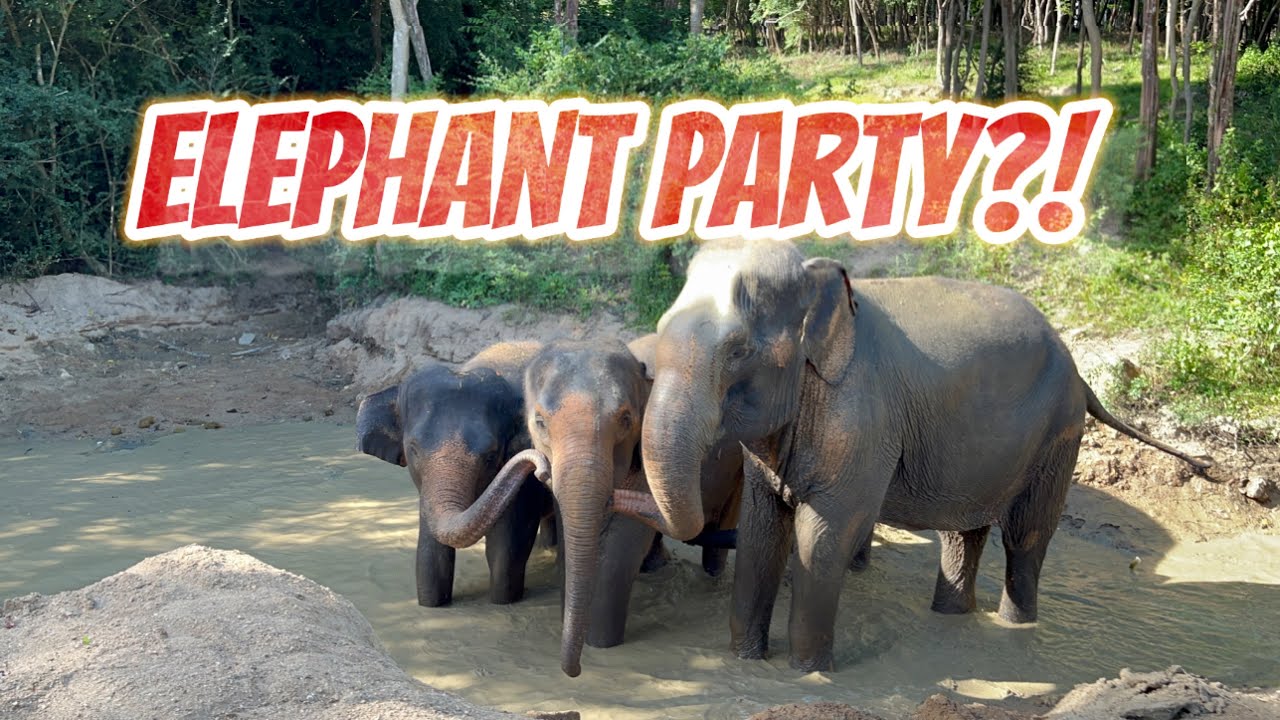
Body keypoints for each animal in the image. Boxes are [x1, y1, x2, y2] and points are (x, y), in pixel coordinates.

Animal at [355, 343, 552, 608]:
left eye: (491, 455)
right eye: (413, 449)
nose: (543, 469)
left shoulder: (525, 486)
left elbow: (507, 544)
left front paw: (502, 602)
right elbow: (430, 548)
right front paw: (432, 606)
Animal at [610, 238, 1211, 672]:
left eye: (739, 351)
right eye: (658, 331)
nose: (617, 493)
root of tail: (1081, 372)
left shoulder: (863, 414)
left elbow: (823, 534)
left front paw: (806, 672)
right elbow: (763, 531)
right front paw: (745, 663)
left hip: (1057, 434)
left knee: (1026, 536)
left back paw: (1014, 630)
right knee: (962, 533)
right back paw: (951, 618)